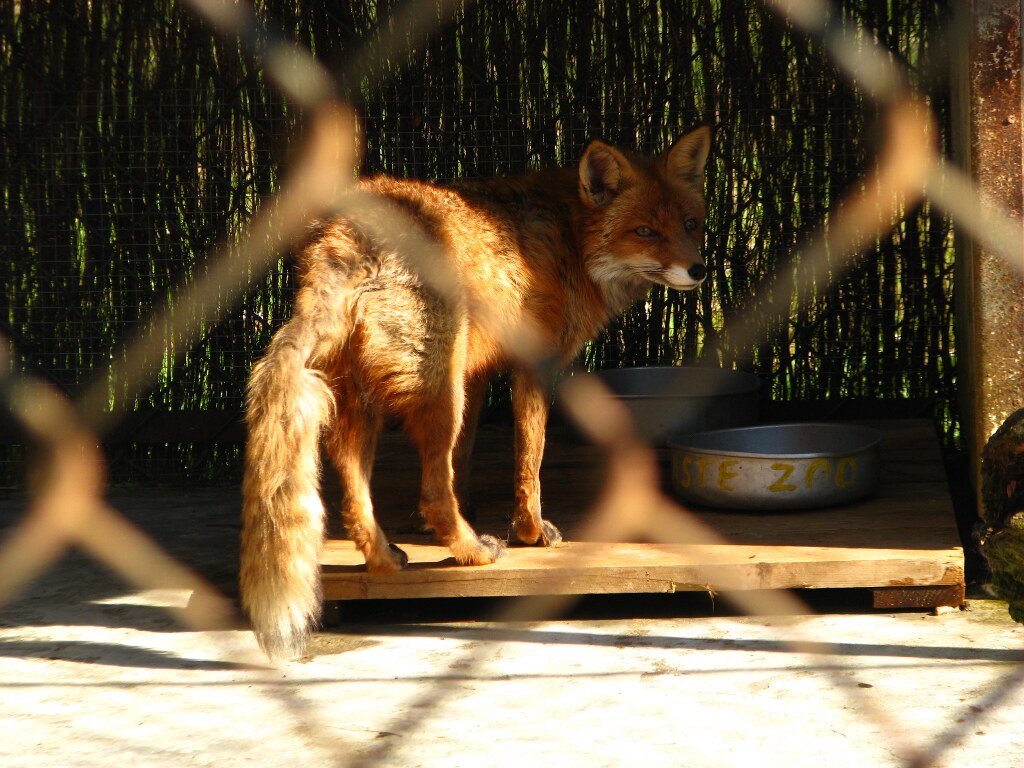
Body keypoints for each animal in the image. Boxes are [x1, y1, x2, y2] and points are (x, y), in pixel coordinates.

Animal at [241, 126, 712, 659]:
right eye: (645, 232)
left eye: (691, 224)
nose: (699, 269)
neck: (569, 237)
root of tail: (344, 234)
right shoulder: (533, 366)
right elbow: (530, 459)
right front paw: (532, 531)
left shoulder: (477, 374)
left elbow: (463, 459)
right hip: (438, 391)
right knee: (432, 493)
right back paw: (472, 552)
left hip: (369, 398)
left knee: (358, 498)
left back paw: (385, 559)